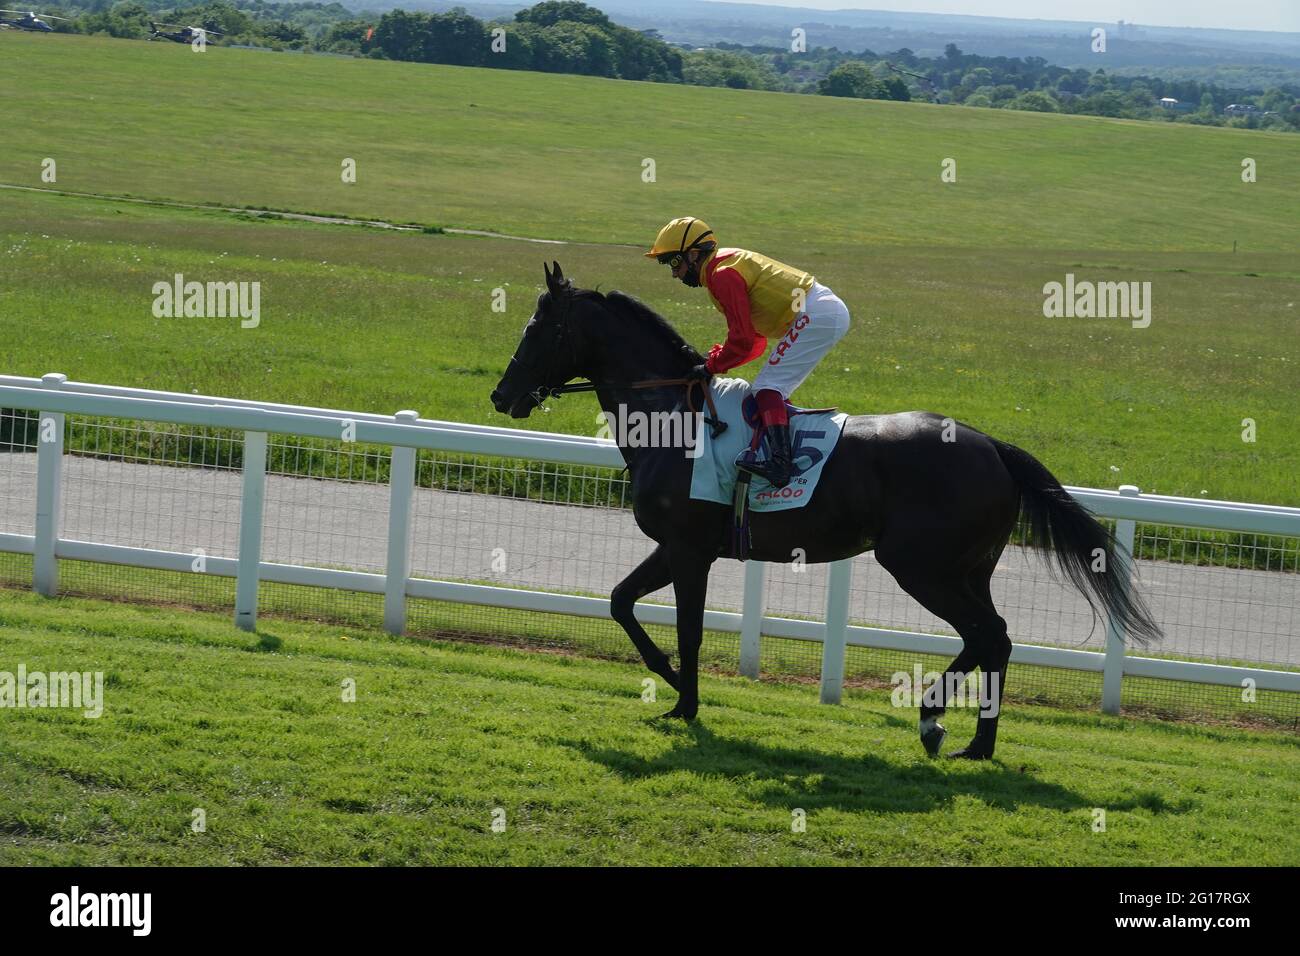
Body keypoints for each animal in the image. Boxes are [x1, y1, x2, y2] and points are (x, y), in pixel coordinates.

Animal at [490, 262, 1160, 760]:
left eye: (536, 329)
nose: (502, 395)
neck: (674, 422)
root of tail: (993, 444)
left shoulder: (688, 549)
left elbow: (671, 623)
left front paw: (684, 698)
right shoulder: (682, 550)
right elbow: (636, 607)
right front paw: (678, 690)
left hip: (921, 567)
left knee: (986, 634)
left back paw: (933, 720)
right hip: (970, 568)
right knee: (995, 640)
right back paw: (975, 743)